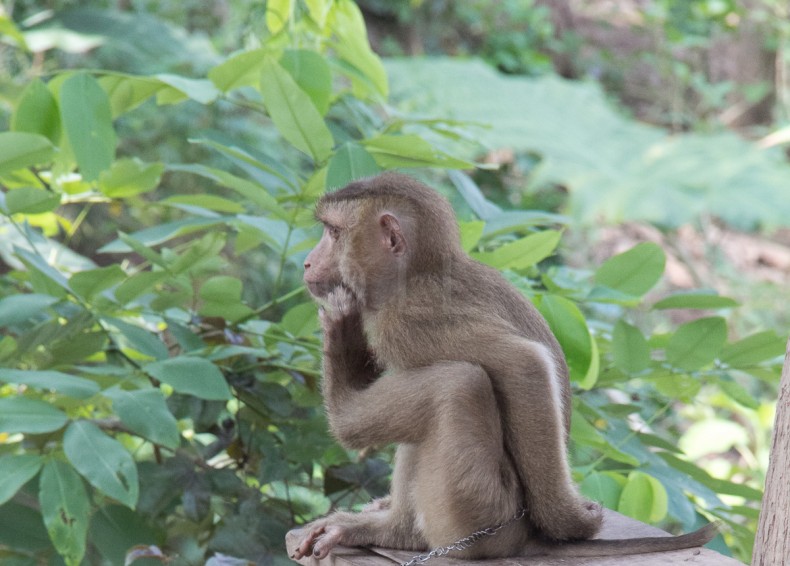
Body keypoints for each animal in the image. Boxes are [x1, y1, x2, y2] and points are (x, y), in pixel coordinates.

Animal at [293, 172, 717, 560]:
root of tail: (525, 536)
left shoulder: (408, 323)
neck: (415, 275)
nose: (308, 262)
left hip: (480, 513)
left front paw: (570, 523)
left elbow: (523, 364)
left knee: (457, 383)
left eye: (333, 232)